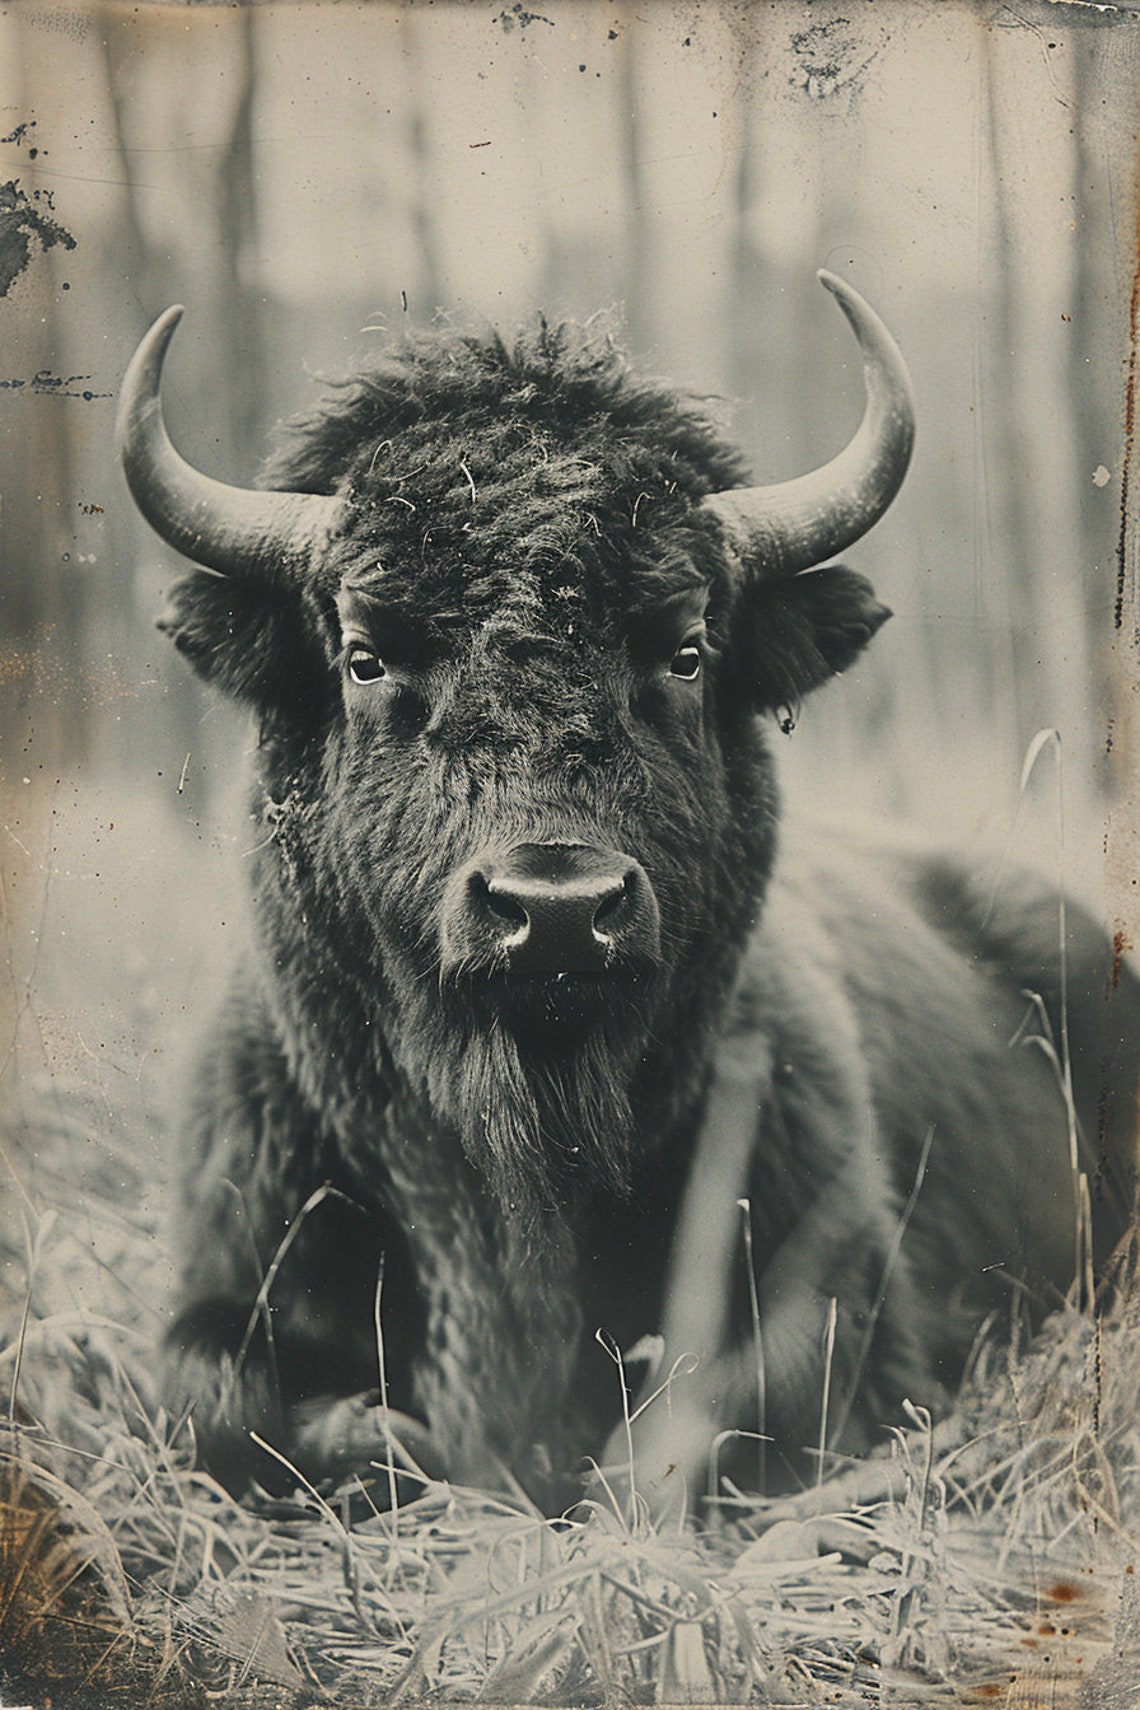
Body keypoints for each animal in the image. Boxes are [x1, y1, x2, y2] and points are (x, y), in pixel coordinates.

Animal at [117, 274, 1139, 1510]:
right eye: (364, 653)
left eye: (687, 649)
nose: (555, 908)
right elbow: (219, 1405)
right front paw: (402, 1443)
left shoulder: (830, 1285)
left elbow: (693, 1420)